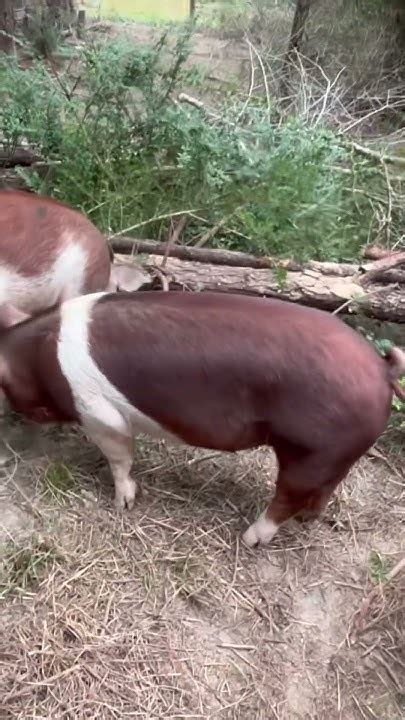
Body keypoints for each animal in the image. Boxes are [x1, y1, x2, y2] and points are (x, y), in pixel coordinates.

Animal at [0, 290, 403, 547]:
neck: (40, 356)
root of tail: (382, 370)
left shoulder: (100, 413)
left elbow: (120, 458)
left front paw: (122, 504)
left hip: (311, 449)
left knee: (288, 496)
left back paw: (249, 539)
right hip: (337, 455)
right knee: (324, 489)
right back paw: (309, 520)